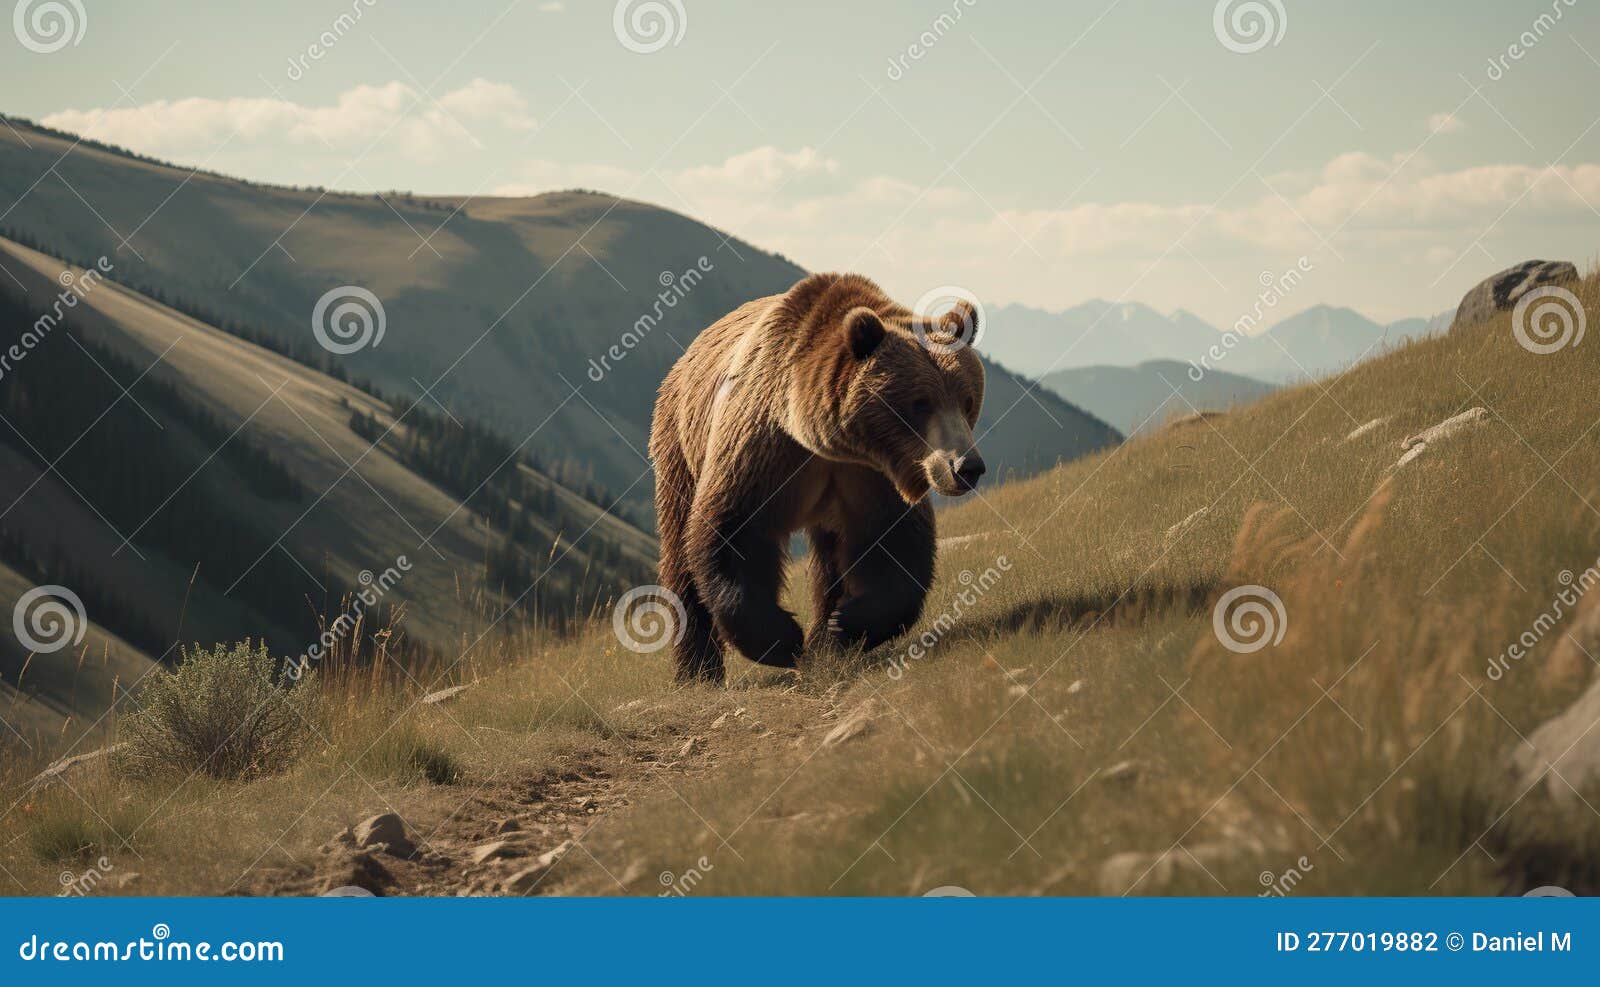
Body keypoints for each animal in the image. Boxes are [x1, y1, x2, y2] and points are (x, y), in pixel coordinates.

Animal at [648, 272, 987, 684]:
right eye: (920, 403)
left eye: (967, 400)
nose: (967, 467)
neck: (826, 443)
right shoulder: (763, 447)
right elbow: (733, 532)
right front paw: (782, 639)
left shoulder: (870, 476)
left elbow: (893, 545)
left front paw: (844, 626)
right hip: (679, 444)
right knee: (679, 550)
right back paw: (696, 670)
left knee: (830, 556)